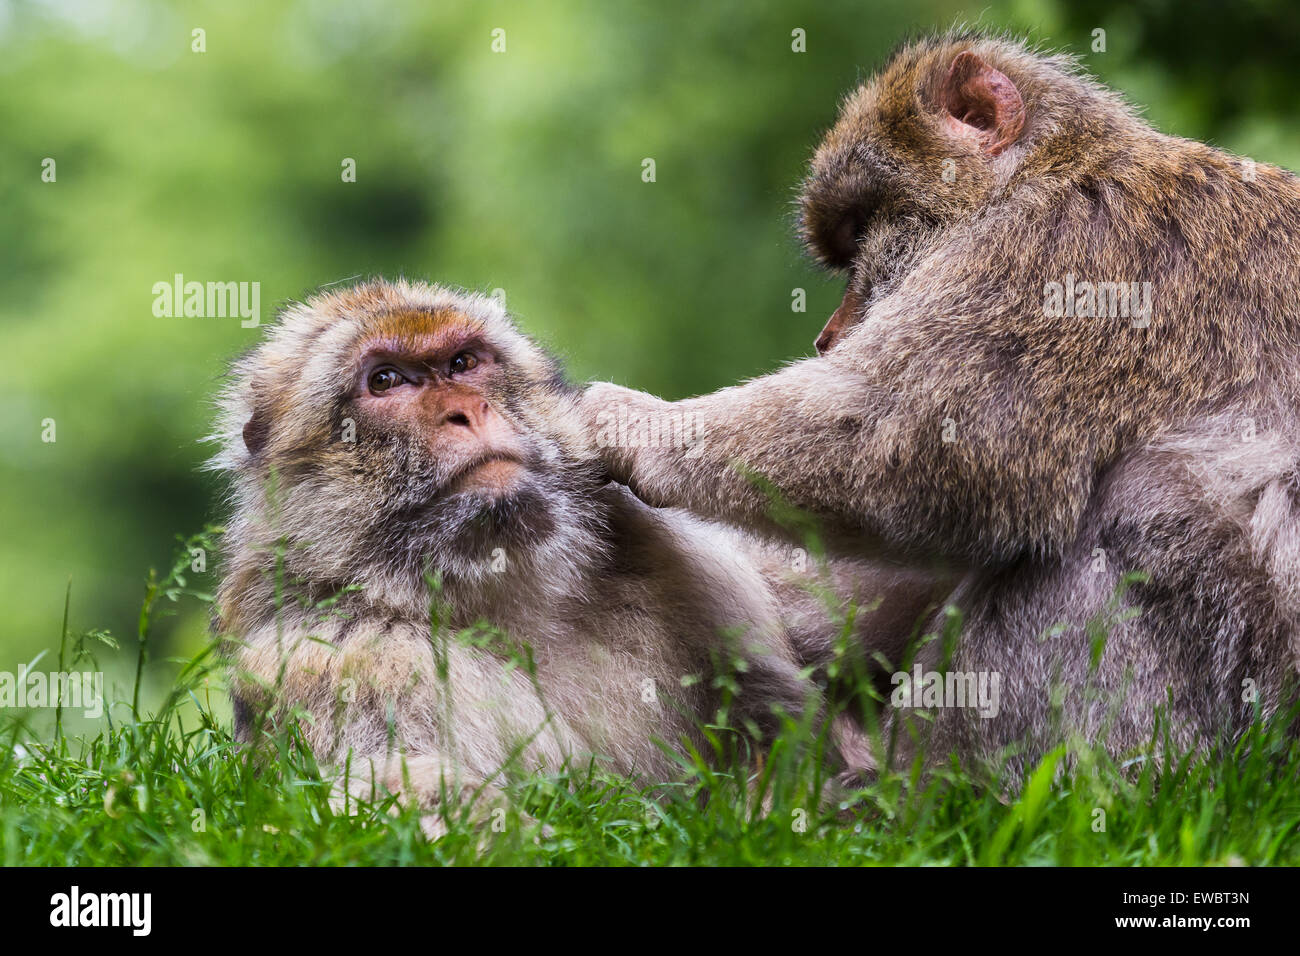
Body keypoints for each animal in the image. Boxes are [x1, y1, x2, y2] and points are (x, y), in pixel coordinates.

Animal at [209, 277, 937, 834]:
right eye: (384, 380)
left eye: (463, 364)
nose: (466, 411)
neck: (506, 590)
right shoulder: (339, 659)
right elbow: (394, 791)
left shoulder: (681, 563)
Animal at [579, 31, 1300, 777]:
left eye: (861, 229)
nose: (828, 336)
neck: (1049, 172)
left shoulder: (1066, 260)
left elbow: (924, 445)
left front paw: (627, 423)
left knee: (1146, 500)